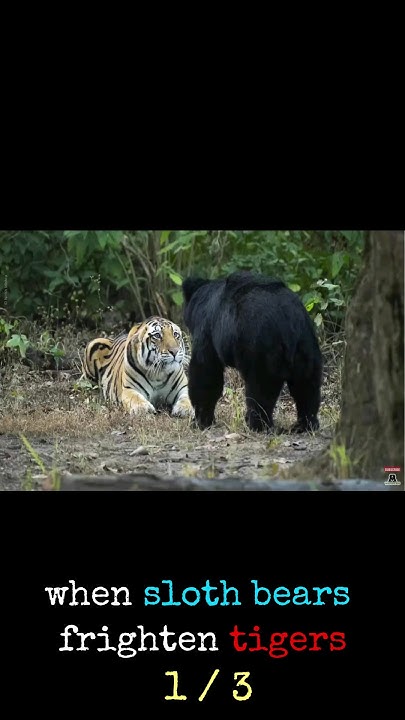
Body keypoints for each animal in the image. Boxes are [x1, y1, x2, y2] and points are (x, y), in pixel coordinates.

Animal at [182, 270, 322, 433]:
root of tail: (288, 321)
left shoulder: (207, 331)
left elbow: (205, 372)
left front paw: (201, 420)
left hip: (261, 349)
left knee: (260, 390)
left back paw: (258, 424)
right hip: (306, 346)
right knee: (307, 386)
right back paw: (305, 424)